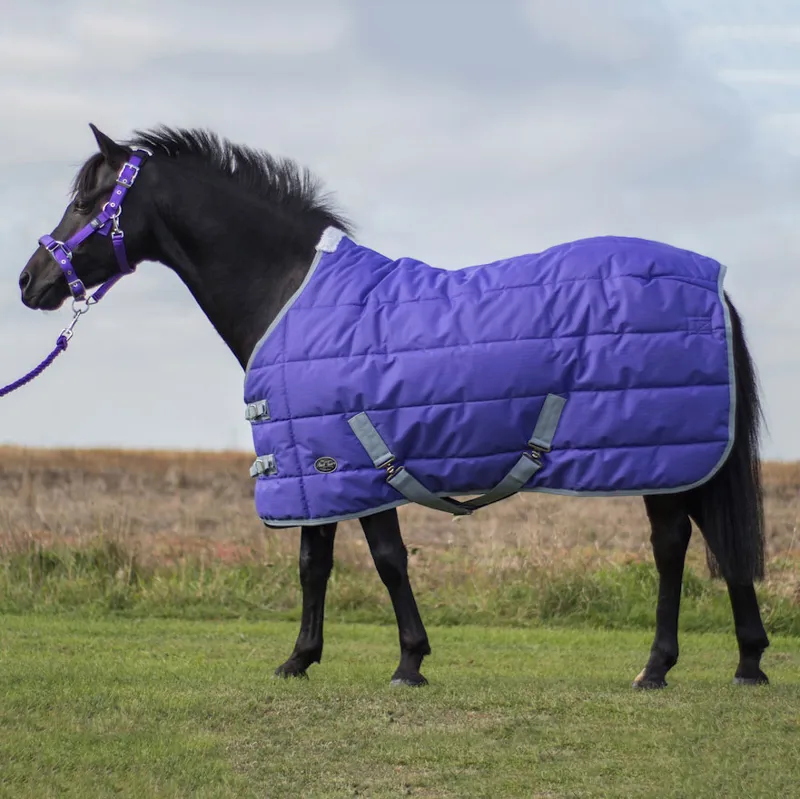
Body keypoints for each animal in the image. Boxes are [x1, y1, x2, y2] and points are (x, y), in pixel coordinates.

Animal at [18, 124, 770, 689]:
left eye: (86, 201)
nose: (30, 280)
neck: (289, 291)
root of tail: (711, 282)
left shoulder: (350, 460)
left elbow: (384, 558)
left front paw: (408, 661)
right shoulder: (317, 465)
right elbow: (315, 562)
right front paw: (301, 658)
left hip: (664, 459)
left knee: (674, 546)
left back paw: (661, 666)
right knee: (717, 541)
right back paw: (748, 660)